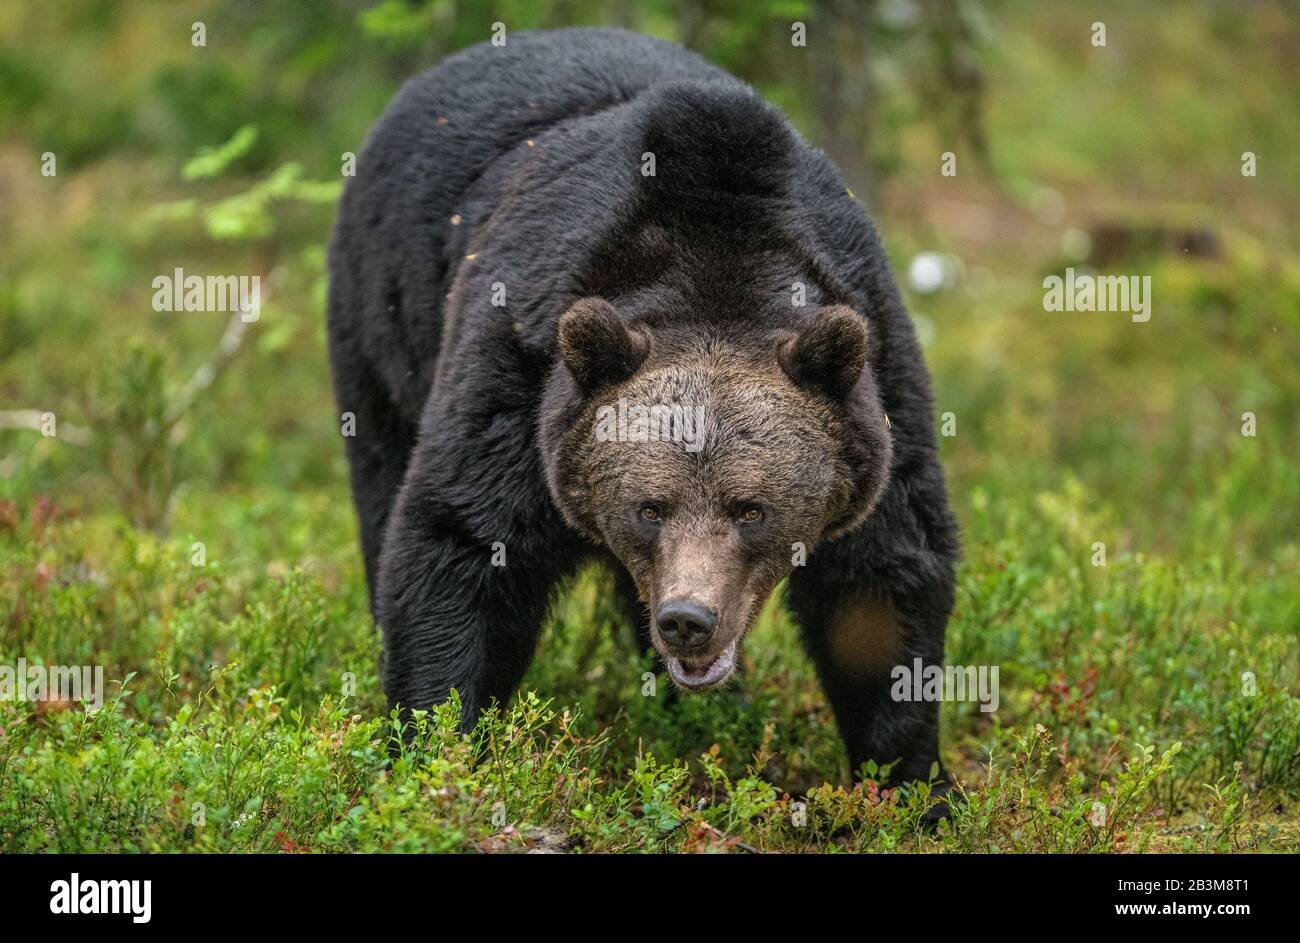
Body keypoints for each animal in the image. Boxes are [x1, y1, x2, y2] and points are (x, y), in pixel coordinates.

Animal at [327, 27, 959, 798]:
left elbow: (882, 585)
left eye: (751, 509)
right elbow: (463, 545)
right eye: (649, 507)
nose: (688, 619)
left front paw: (916, 786)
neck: (715, 259)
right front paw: (439, 754)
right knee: (382, 480)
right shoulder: (518, 369)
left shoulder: (876, 375)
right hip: (383, 327)